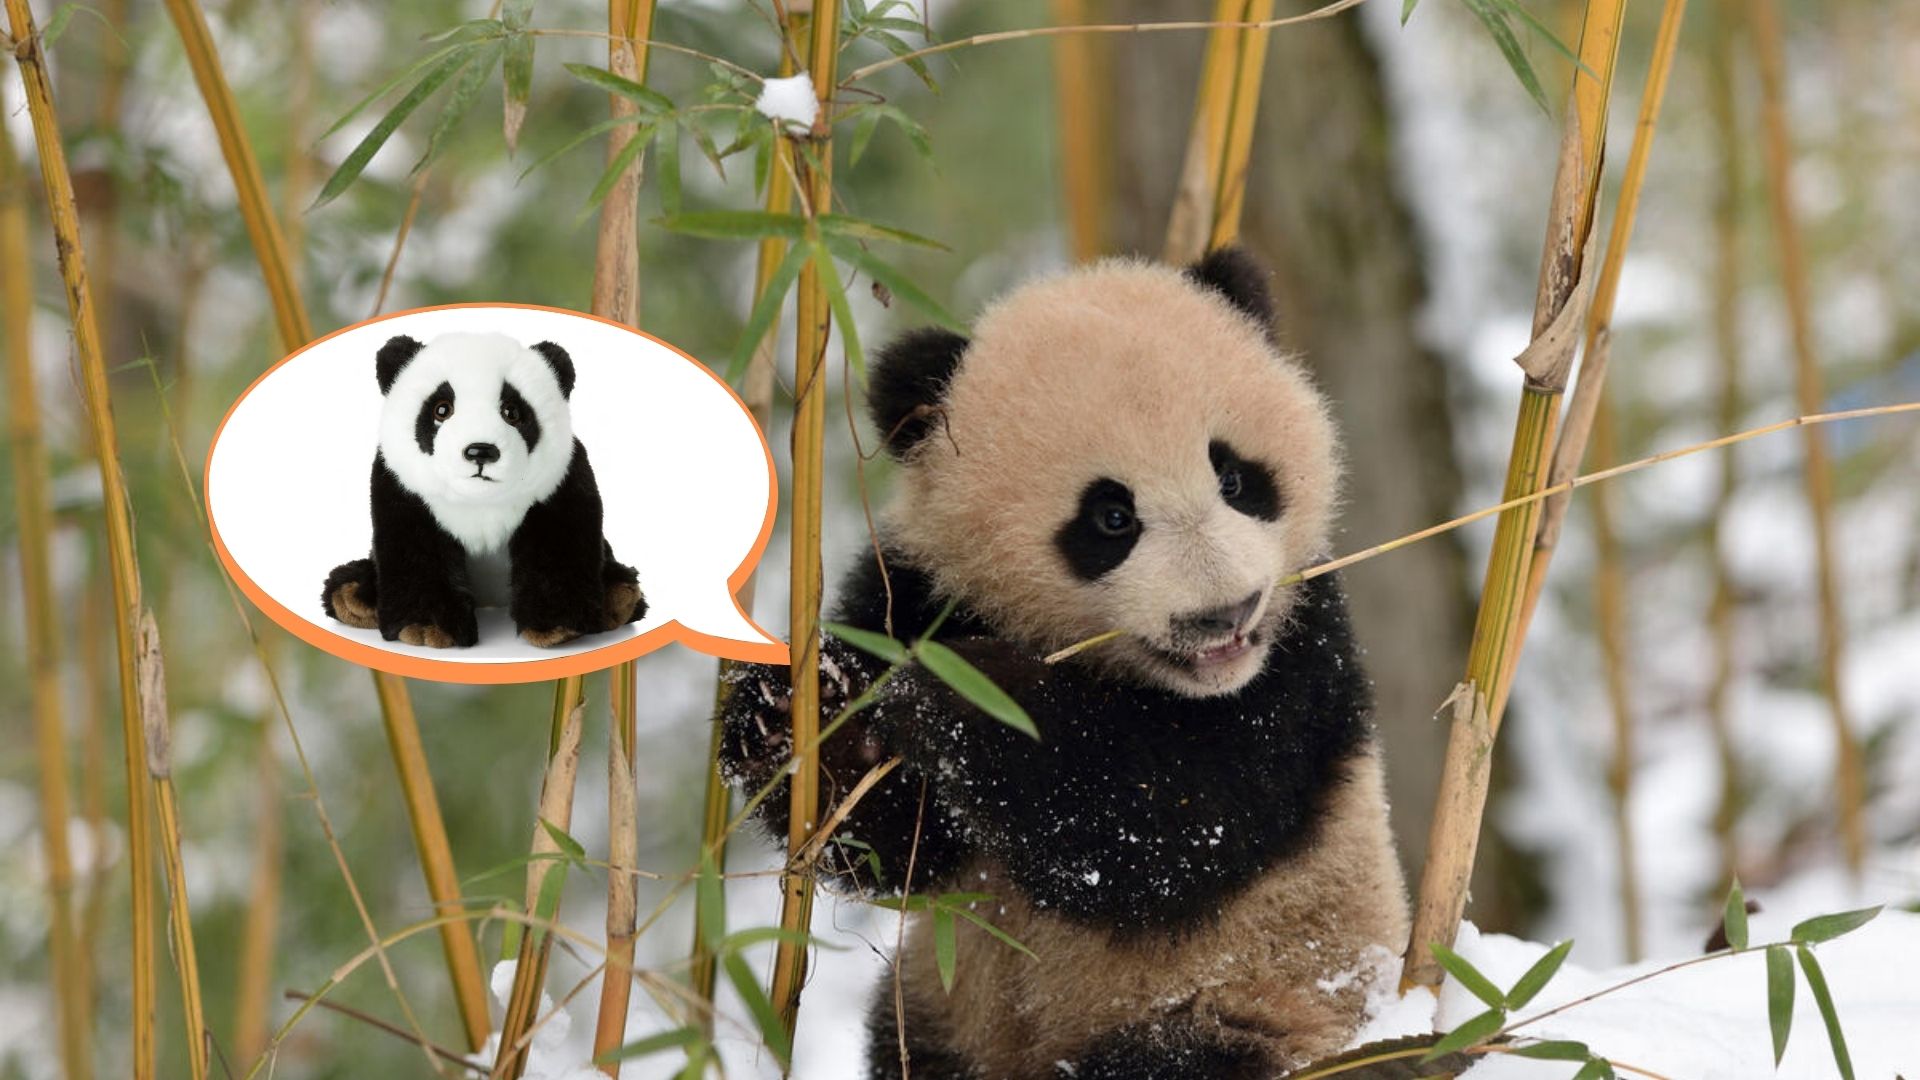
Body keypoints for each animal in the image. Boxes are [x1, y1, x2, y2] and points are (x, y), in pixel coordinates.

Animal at [321, 331, 646, 649]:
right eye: (442, 409)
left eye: (512, 411)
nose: (480, 451)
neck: (478, 498)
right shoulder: (403, 485)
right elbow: (414, 551)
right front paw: (424, 627)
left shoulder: (560, 478)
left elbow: (559, 542)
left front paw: (557, 626)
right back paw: (352, 596)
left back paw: (619, 595)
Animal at [718, 248, 1408, 1079]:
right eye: (1111, 518)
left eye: (1237, 479)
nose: (1223, 613)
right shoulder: (918, 593)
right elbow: (895, 842)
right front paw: (788, 710)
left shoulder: (1303, 653)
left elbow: (1174, 817)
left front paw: (959, 695)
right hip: (944, 1003)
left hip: (1259, 996)